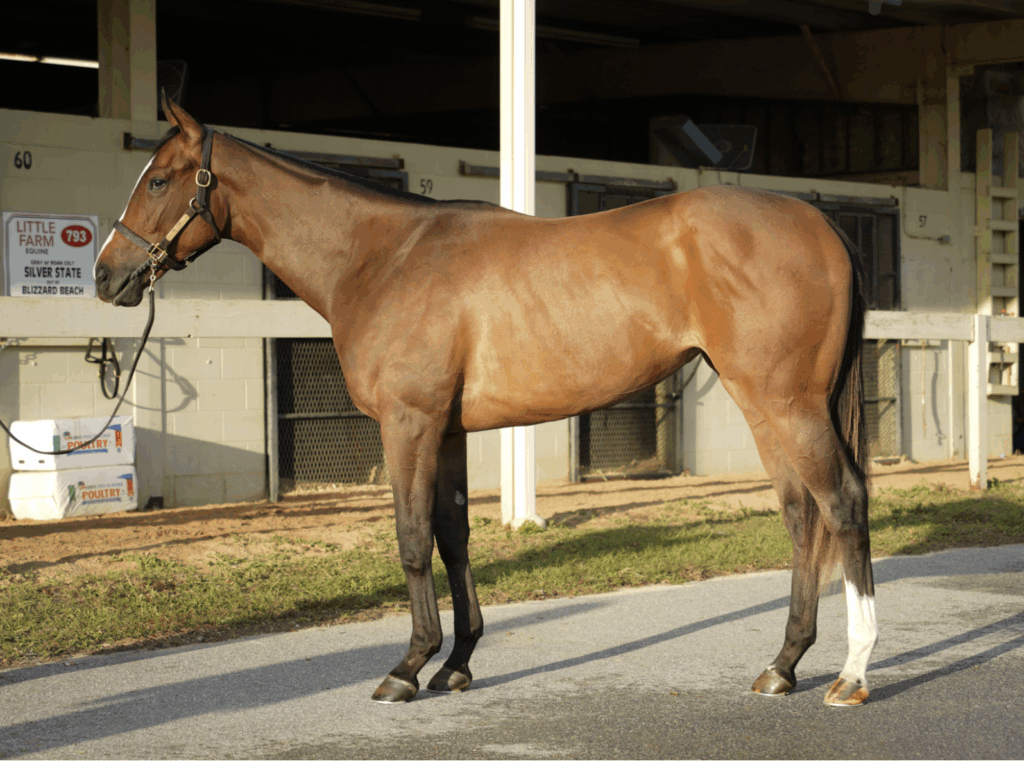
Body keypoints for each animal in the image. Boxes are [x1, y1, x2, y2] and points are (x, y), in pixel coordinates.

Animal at [94, 94, 876, 707]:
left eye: (158, 180)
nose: (106, 275)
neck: (383, 257)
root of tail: (823, 225)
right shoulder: (447, 430)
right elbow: (453, 535)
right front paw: (458, 662)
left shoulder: (408, 423)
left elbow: (412, 539)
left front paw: (407, 667)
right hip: (766, 403)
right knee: (802, 513)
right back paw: (782, 666)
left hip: (787, 402)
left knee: (841, 501)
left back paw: (852, 673)